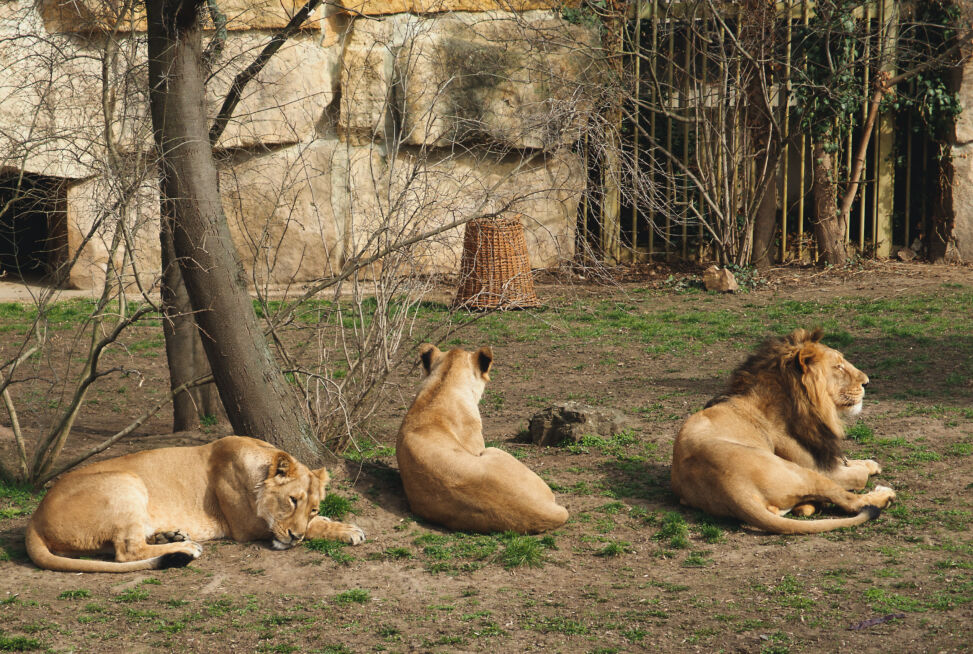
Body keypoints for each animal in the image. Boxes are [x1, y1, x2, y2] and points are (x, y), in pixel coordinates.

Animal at [26, 436, 365, 572]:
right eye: (291, 501)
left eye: (313, 507)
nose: (295, 538)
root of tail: (34, 518)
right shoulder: (244, 526)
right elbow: (310, 529)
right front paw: (348, 530)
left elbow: (320, 523)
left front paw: (338, 525)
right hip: (125, 480)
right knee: (126, 551)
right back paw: (186, 547)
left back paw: (172, 535)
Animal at [670, 328, 896, 534]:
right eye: (838, 366)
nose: (867, 382)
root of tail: (731, 489)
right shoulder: (819, 467)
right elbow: (858, 476)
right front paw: (865, 470)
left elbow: (850, 462)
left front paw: (869, 464)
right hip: (800, 472)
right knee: (850, 501)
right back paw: (883, 496)